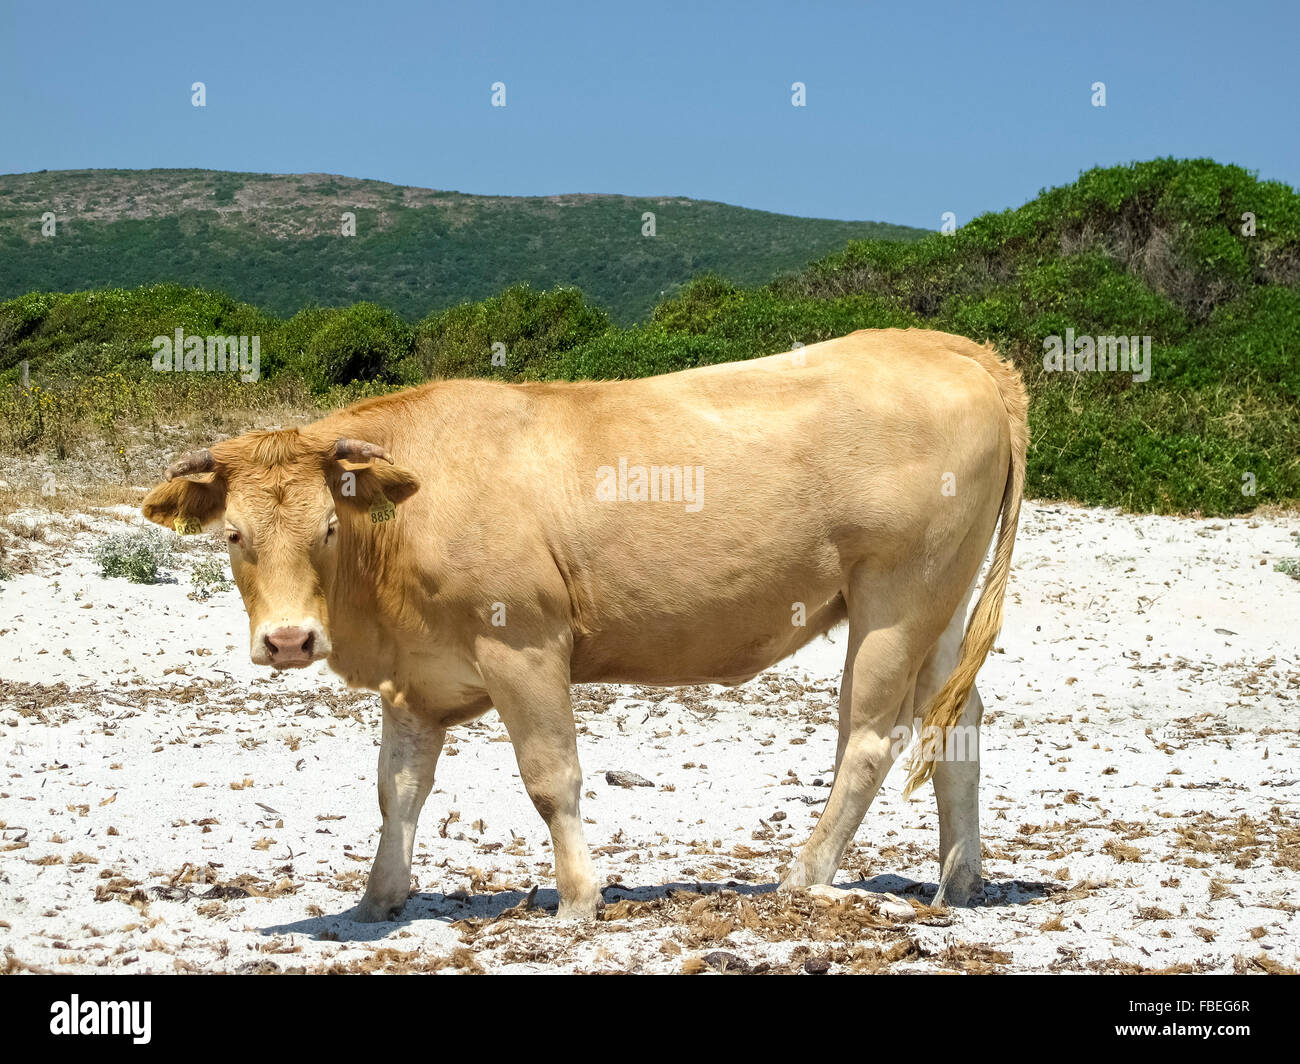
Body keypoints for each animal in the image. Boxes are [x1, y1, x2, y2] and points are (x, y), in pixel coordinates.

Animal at [142, 328, 1027, 921]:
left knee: (871, 736)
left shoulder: (524, 645)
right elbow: (398, 791)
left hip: (896, 596)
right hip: (940, 601)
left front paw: (577, 900)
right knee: (959, 719)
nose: (289, 639)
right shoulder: (414, 678)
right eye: (233, 535)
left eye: (328, 526)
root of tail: (943, 348)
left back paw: (806, 873)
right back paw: (959, 879)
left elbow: (550, 777)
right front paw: (376, 900)